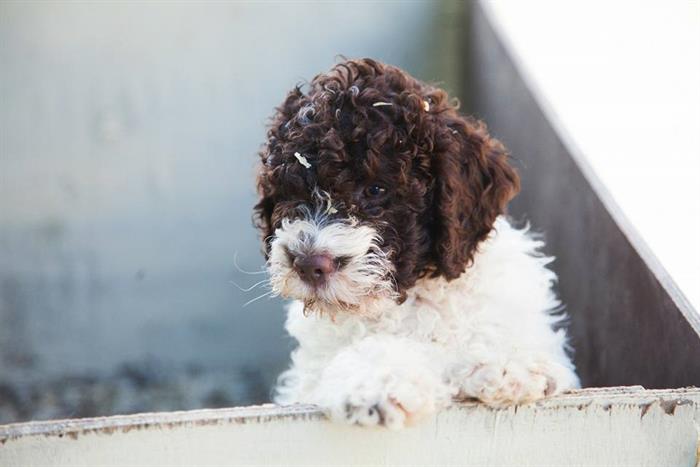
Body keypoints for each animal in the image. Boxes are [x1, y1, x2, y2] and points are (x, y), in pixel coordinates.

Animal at [254, 56, 584, 430]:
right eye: (289, 192)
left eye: (376, 189)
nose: (309, 264)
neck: (413, 294)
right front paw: (374, 383)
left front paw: (509, 360)